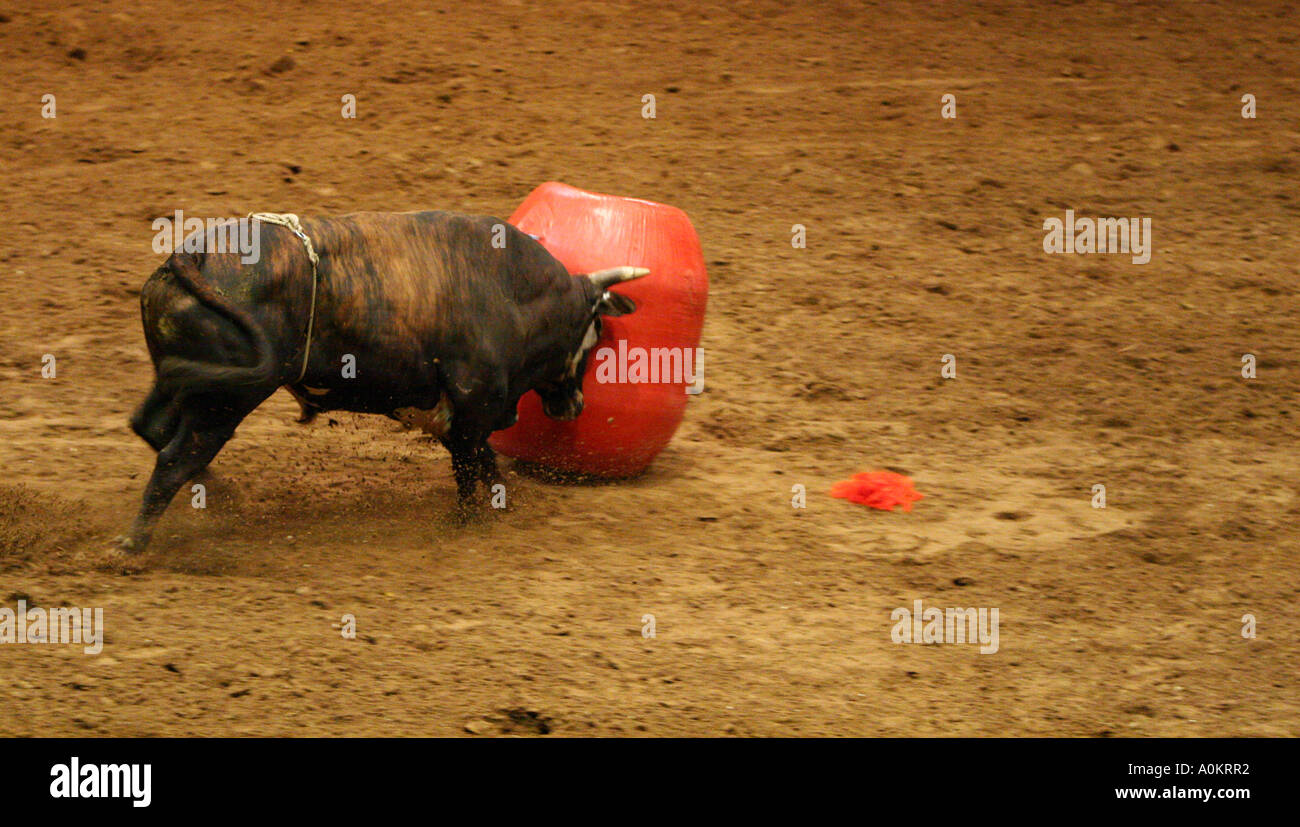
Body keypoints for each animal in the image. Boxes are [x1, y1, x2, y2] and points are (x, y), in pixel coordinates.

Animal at [117, 211, 647, 553]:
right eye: (594, 334)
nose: (574, 405)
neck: (510, 292)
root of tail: (193, 257)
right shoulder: (472, 405)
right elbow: (471, 470)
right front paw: (470, 523)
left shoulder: (461, 415)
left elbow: (484, 464)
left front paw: (502, 509)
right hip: (224, 402)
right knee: (175, 457)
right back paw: (131, 545)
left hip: (182, 381)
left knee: (152, 429)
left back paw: (221, 497)